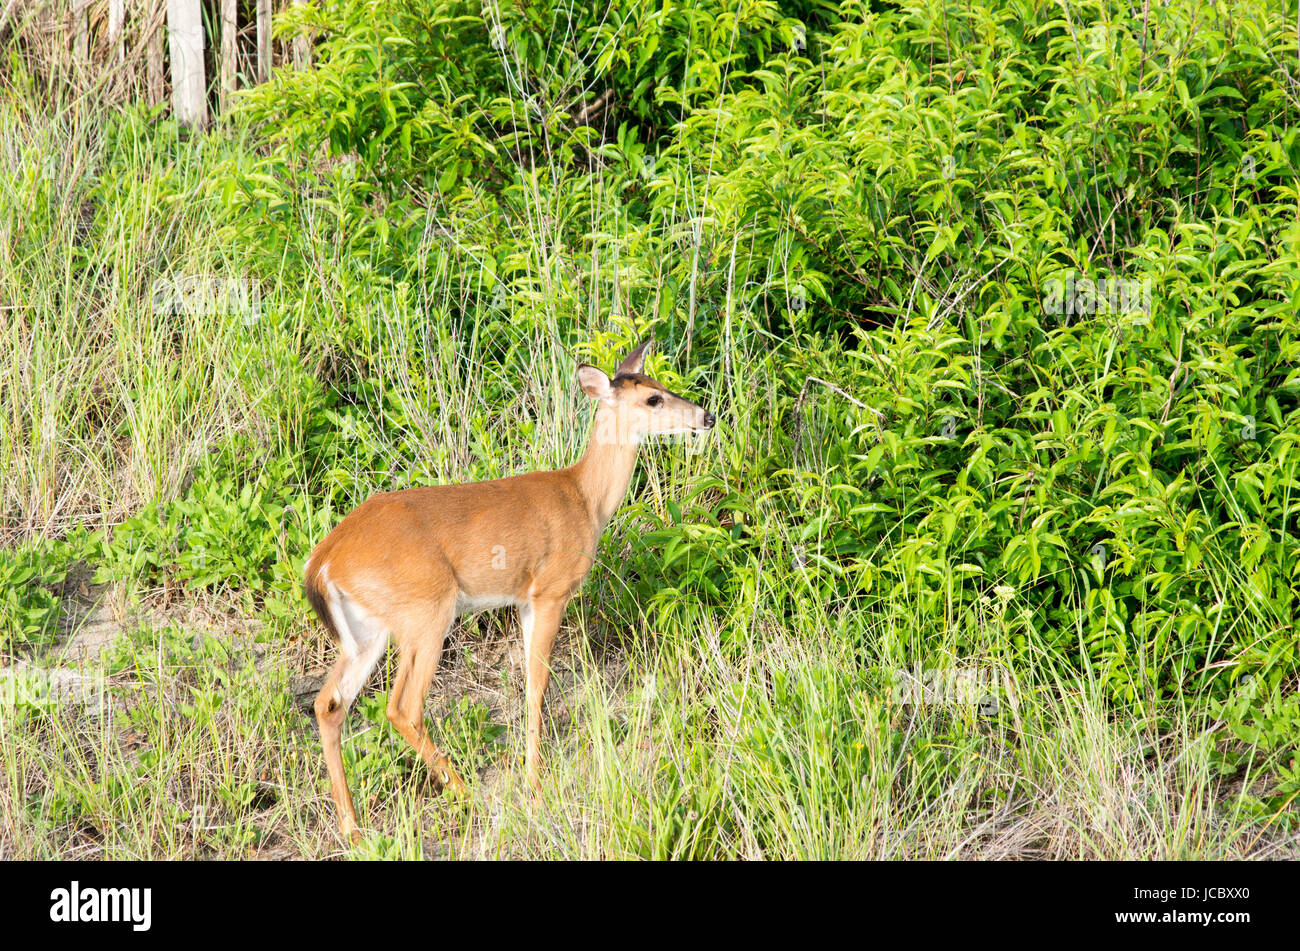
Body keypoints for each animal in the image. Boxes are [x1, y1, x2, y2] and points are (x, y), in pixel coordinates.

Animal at [303, 339, 715, 841]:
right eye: (653, 398)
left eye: (660, 383)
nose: (706, 416)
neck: (585, 499)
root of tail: (323, 561)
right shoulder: (550, 590)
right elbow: (537, 686)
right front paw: (536, 787)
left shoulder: (522, 600)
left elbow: (528, 685)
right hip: (426, 611)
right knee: (402, 706)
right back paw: (465, 794)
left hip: (367, 632)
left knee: (329, 704)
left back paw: (354, 828)